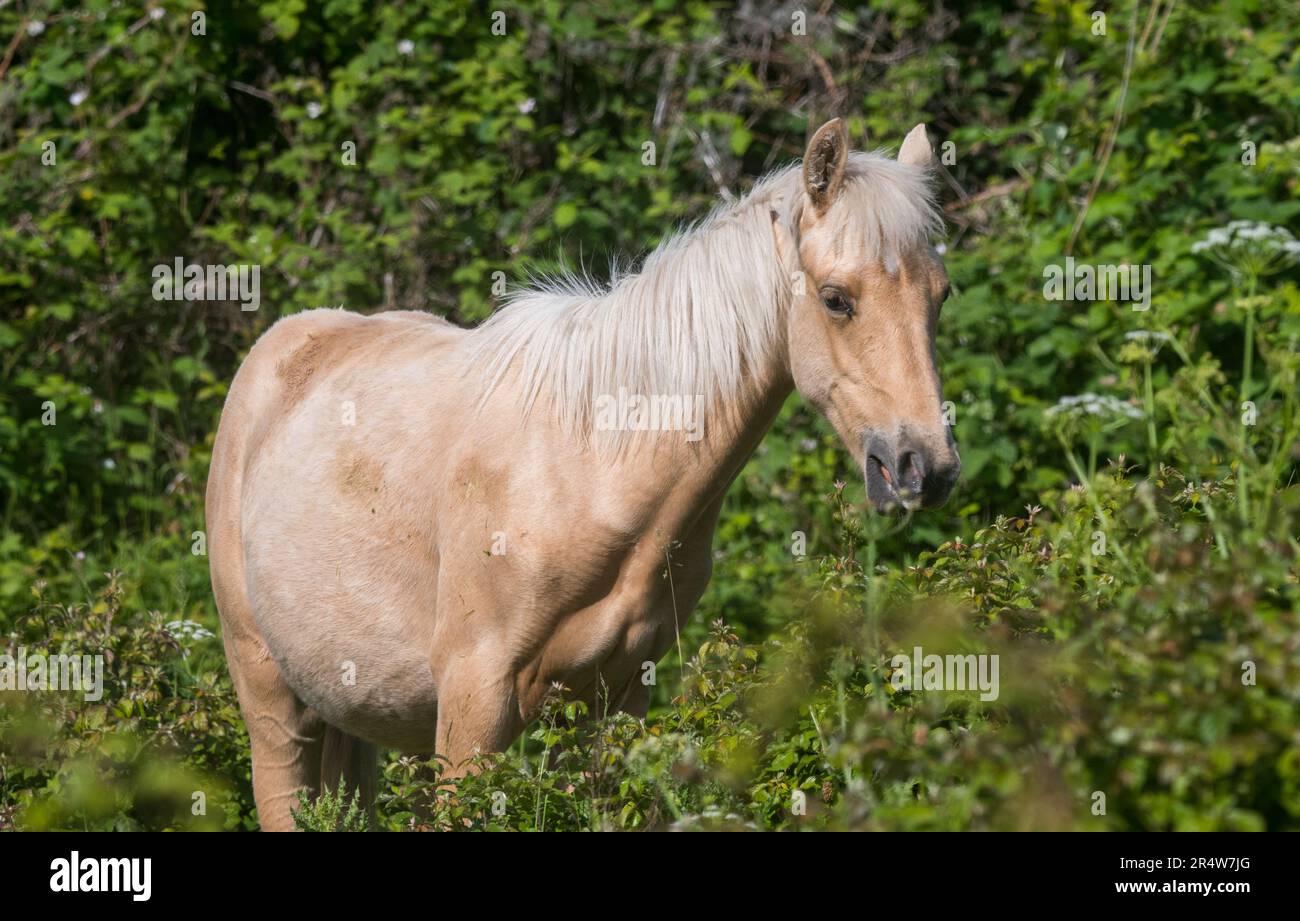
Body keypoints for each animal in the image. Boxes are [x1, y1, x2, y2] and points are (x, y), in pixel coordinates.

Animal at [205, 118, 960, 830]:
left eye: (940, 296)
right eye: (836, 299)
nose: (925, 467)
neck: (591, 470)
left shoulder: (614, 703)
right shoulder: (475, 699)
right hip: (271, 700)